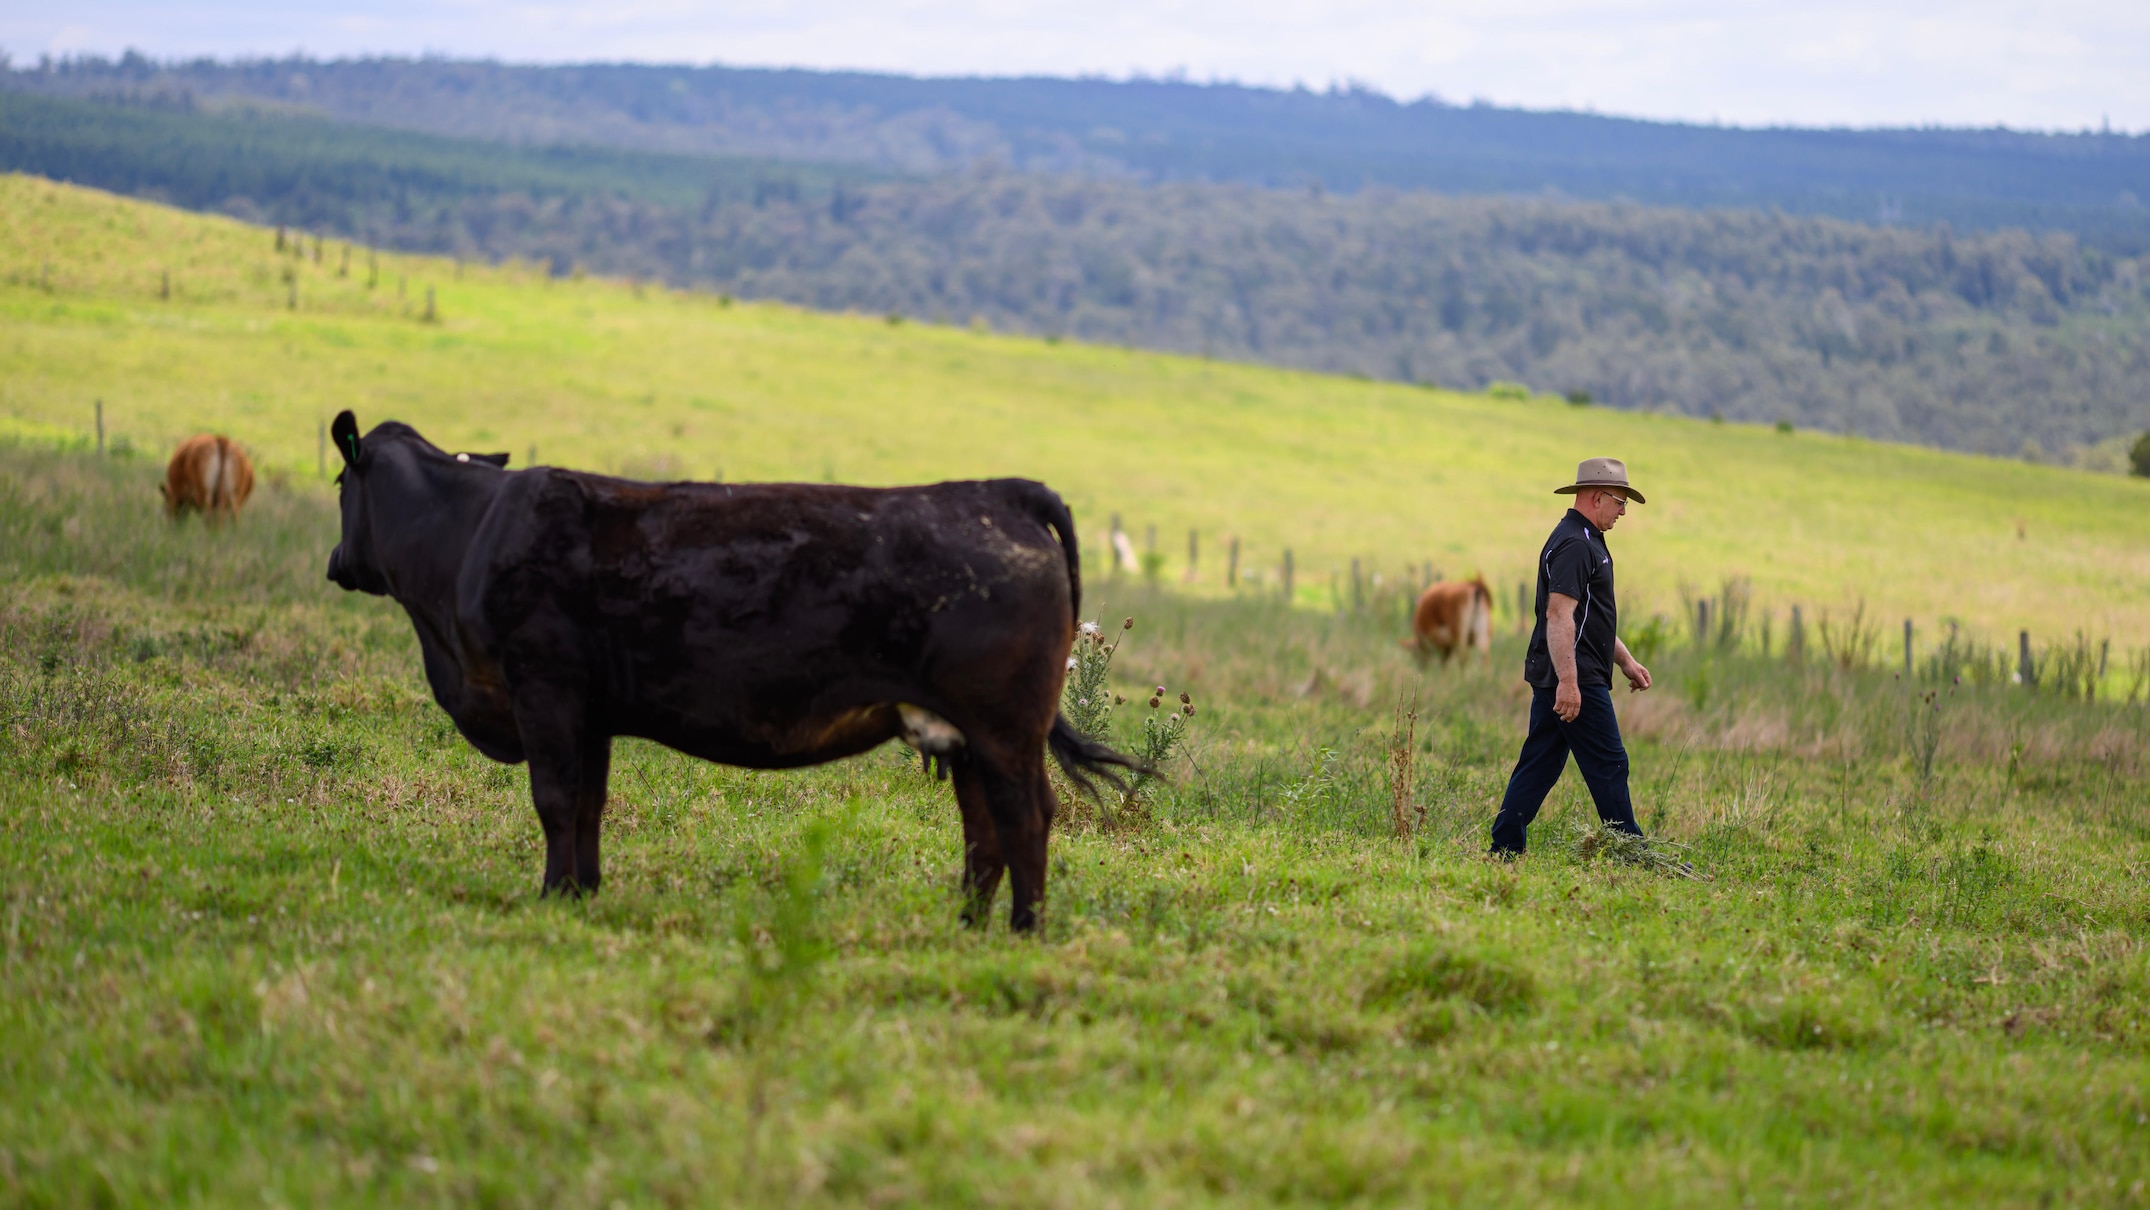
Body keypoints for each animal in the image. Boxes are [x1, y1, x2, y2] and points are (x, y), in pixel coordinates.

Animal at [323, 411, 1133, 931]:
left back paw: (1024, 932)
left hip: (1003, 728)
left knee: (1027, 816)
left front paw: (552, 898)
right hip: (964, 736)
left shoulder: (543, 689)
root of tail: (999, 490)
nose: (334, 561)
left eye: (337, 484)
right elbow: (587, 805)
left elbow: (553, 800)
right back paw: (965, 927)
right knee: (982, 828)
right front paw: (584, 895)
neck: (470, 534)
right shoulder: (591, 711)